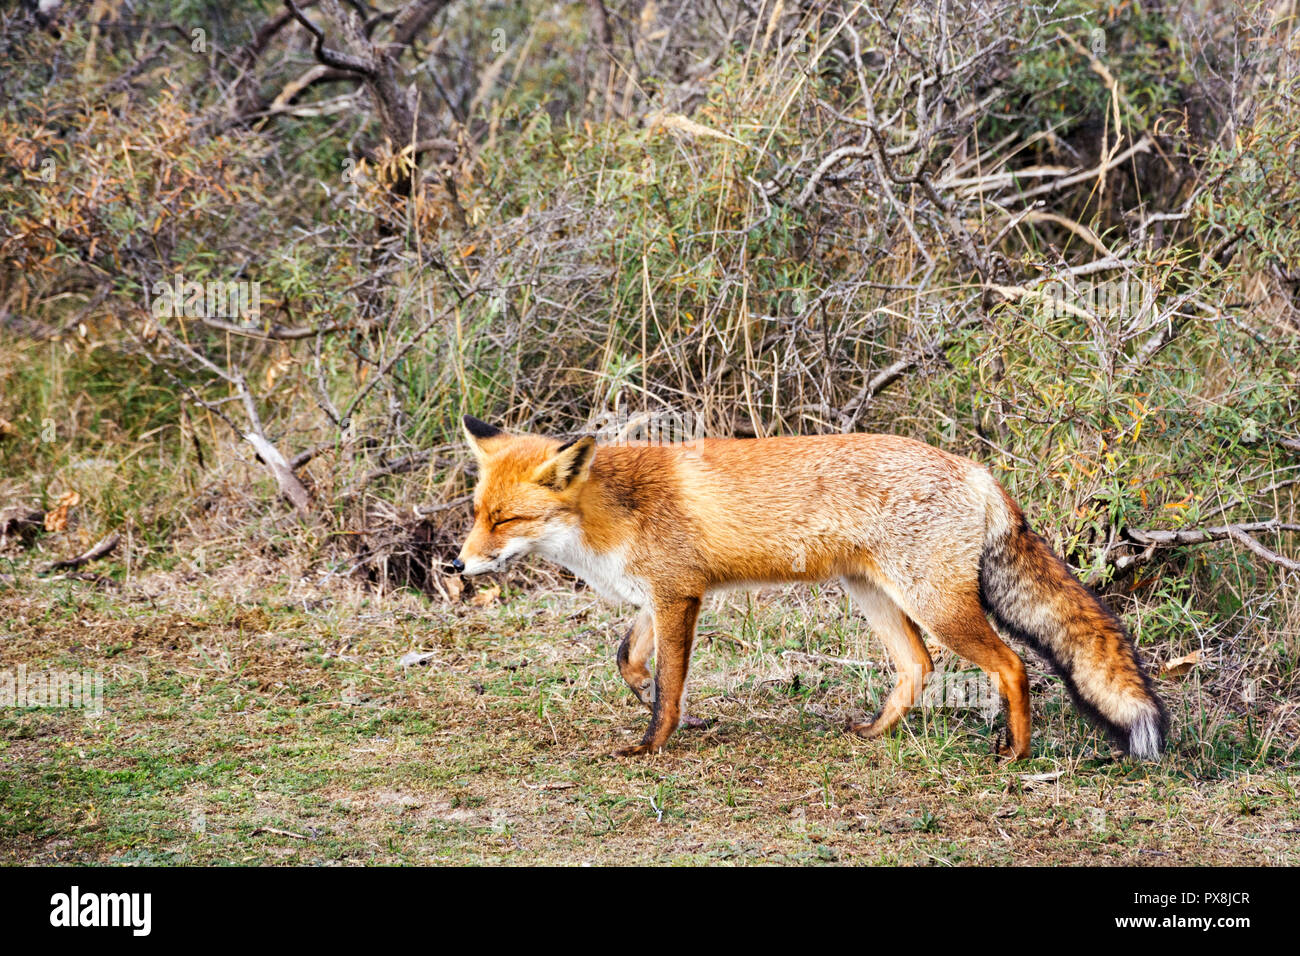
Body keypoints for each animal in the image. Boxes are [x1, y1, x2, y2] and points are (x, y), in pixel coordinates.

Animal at [453, 415, 1168, 761]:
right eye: (477, 514)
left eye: (506, 521)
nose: (458, 568)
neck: (610, 512)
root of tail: (978, 469)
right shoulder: (663, 593)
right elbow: (630, 660)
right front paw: (664, 710)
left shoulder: (679, 595)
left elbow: (668, 685)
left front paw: (653, 743)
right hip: (874, 596)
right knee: (918, 666)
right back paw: (873, 733)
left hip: (936, 605)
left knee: (1013, 665)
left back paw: (1015, 752)